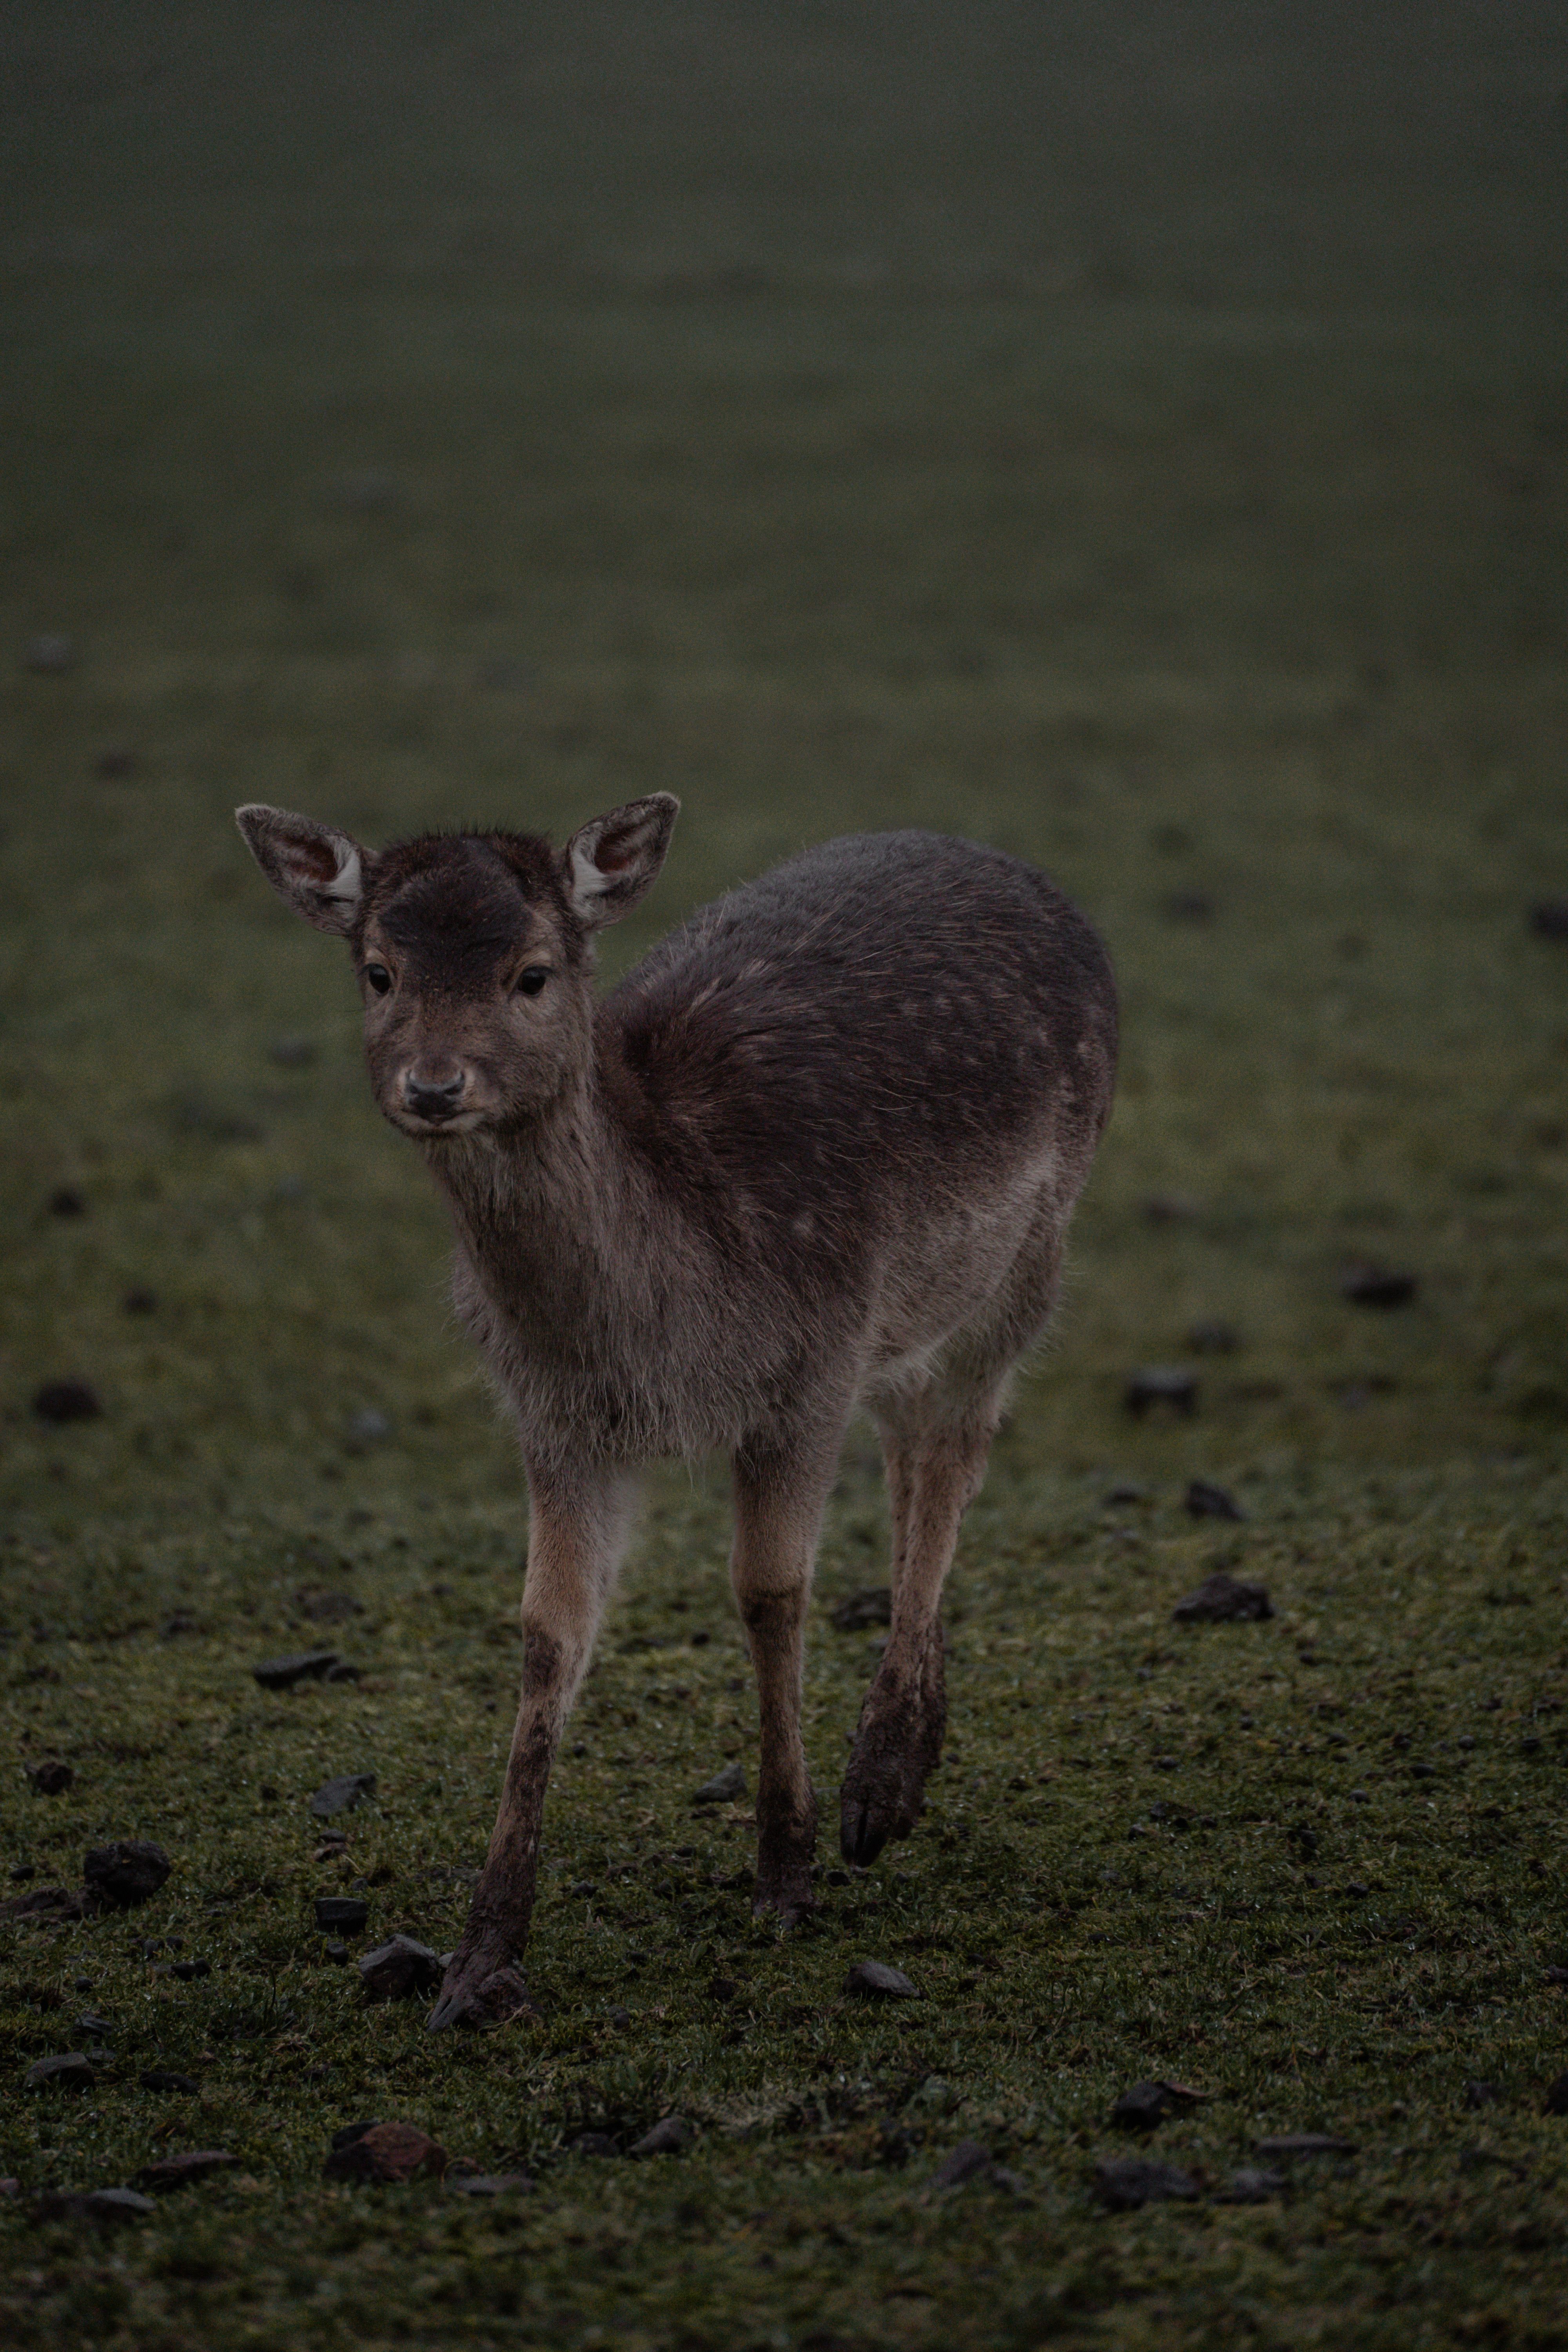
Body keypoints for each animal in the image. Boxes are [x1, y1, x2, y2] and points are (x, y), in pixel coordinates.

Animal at [236, 794, 1117, 2029]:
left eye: (532, 972)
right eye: (377, 971)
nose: (435, 1086)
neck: (662, 1334)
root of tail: (1009, 865)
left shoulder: (809, 1366)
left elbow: (770, 1594)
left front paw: (787, 1872)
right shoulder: (555, 1419)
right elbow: (549, 1634)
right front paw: (479, 1959)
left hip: (1030, 1255)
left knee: (954, 1448)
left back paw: (880, 1784)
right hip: (921, 1311)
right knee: (913, 1447)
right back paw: (909, 1758)